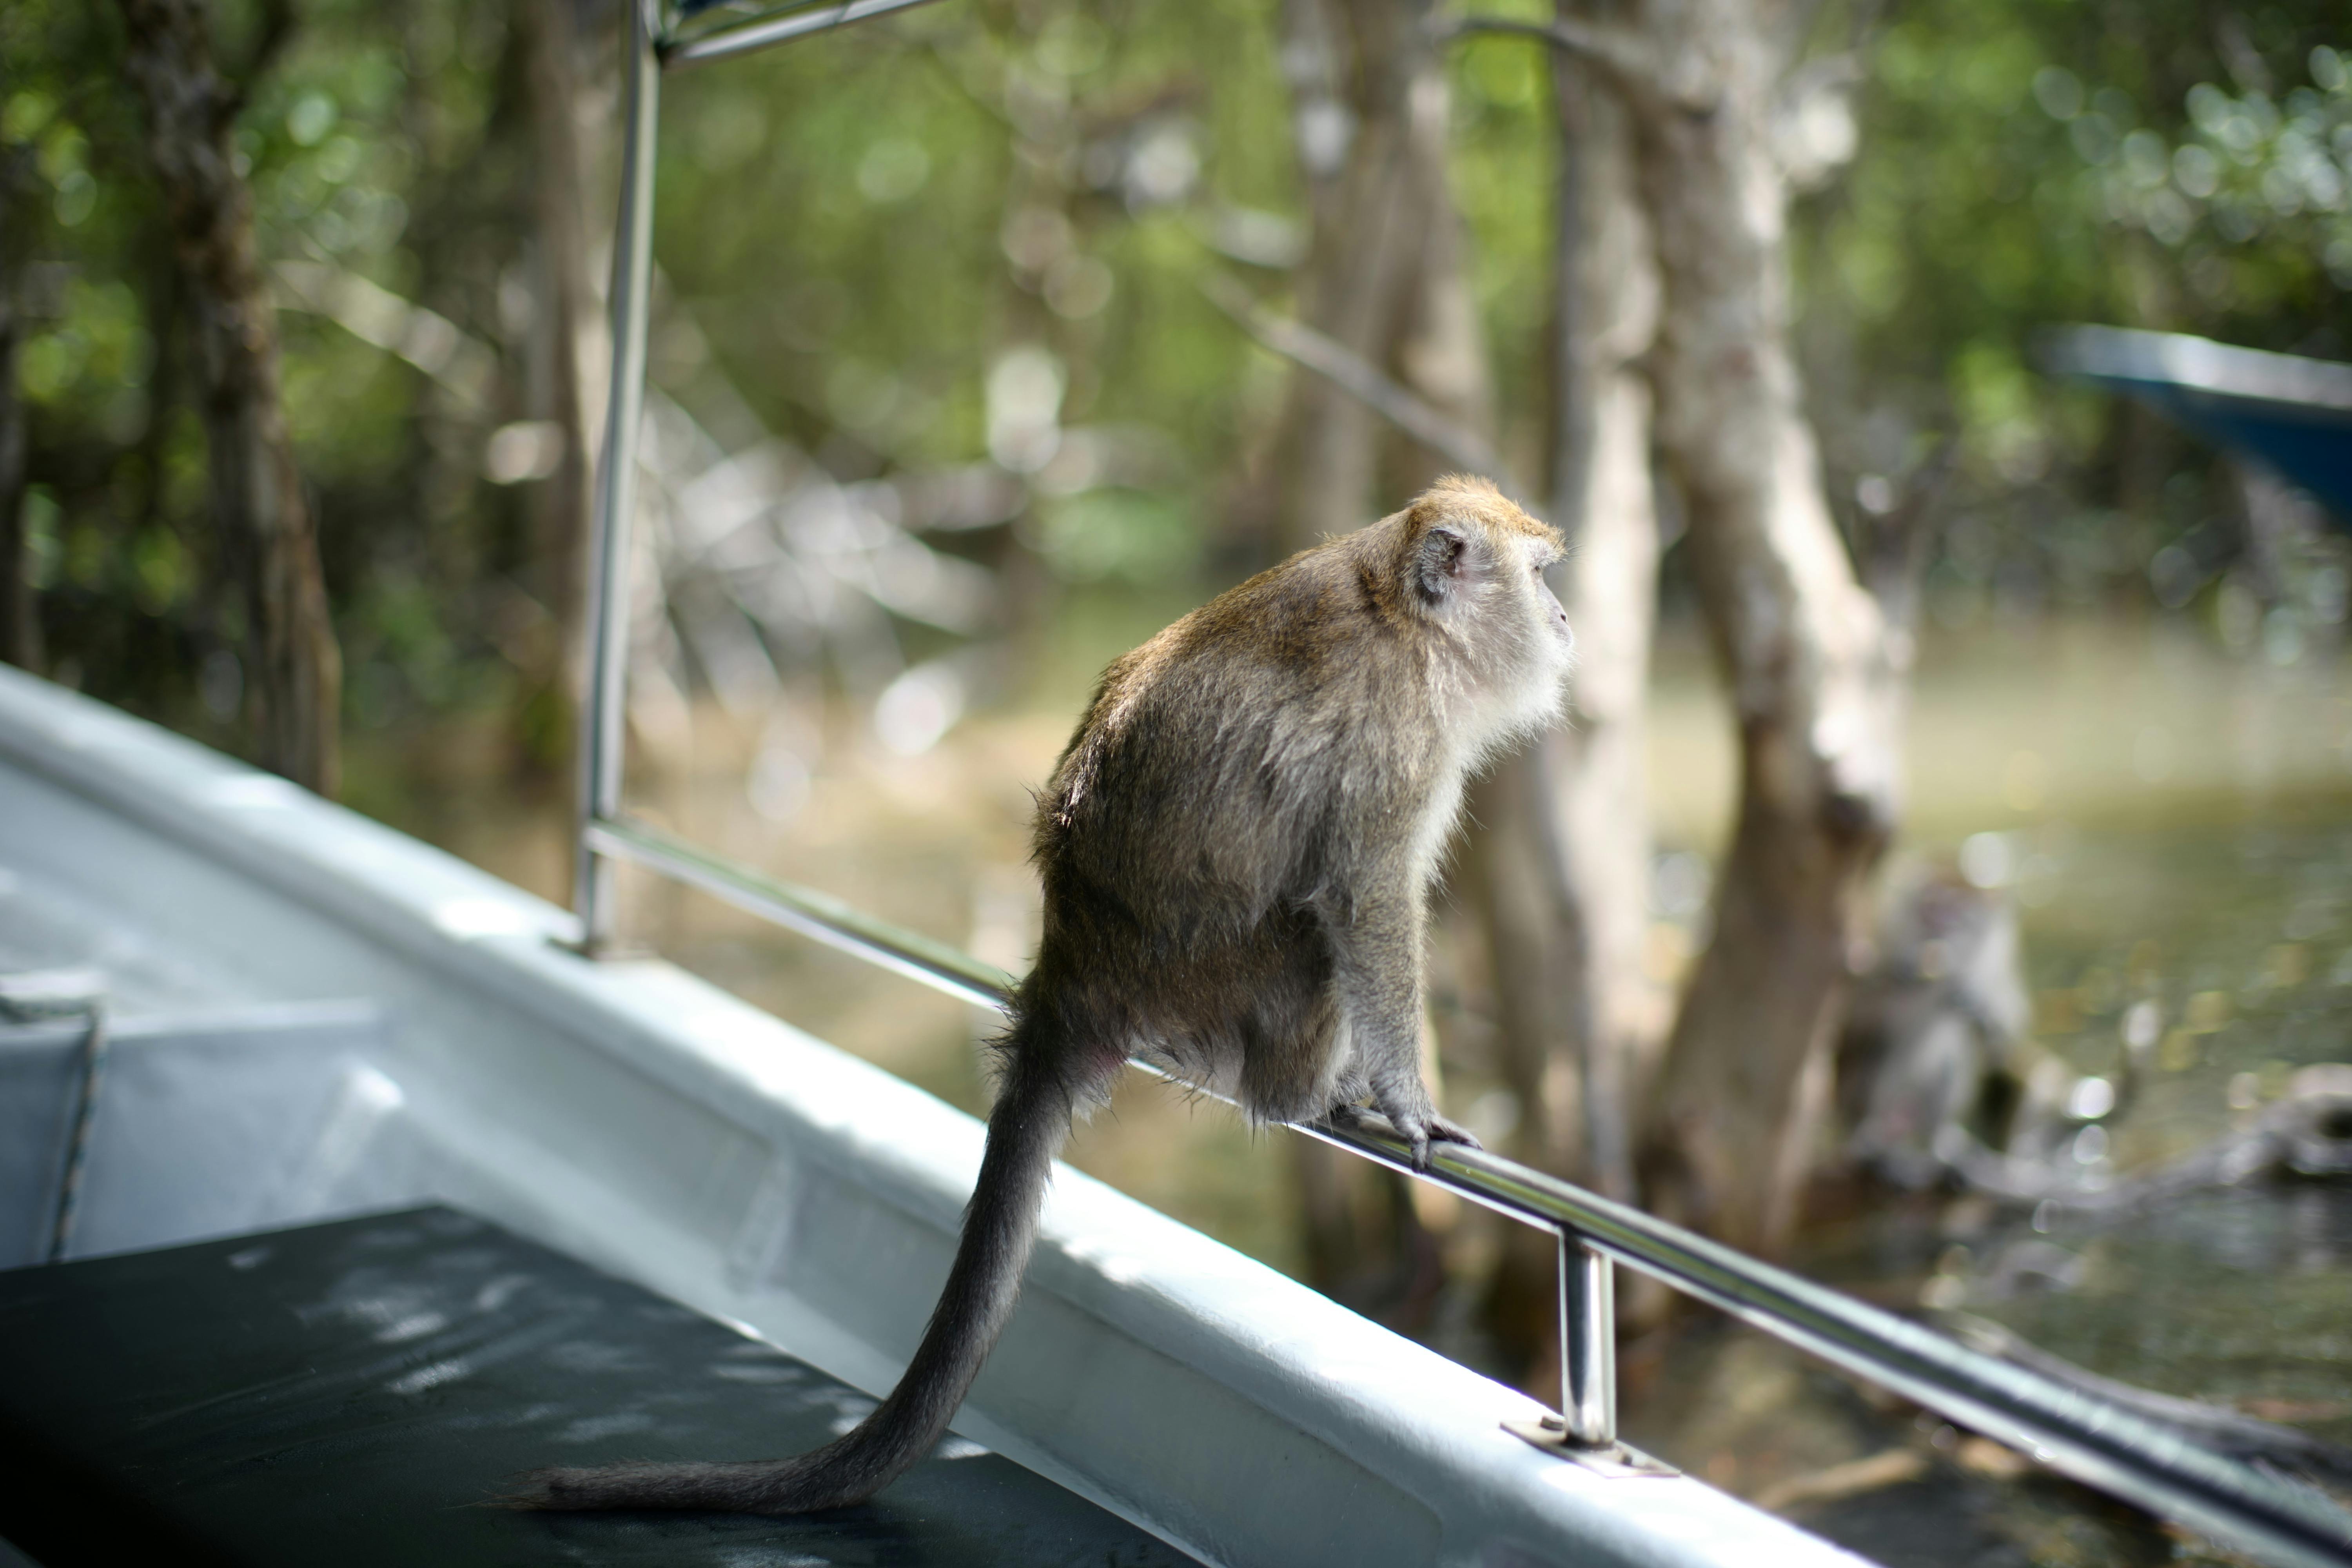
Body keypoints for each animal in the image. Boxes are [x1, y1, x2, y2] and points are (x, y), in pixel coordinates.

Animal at [513, 475, 1575, 1516]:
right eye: (1540, 575)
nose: (1565, 617)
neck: (1401, 613)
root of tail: (1071, 969)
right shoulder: (1398, 742)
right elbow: (1364, 898)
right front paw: (1407, 1100)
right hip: (1230, 979)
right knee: (1313, 935)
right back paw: (1306, 1090)